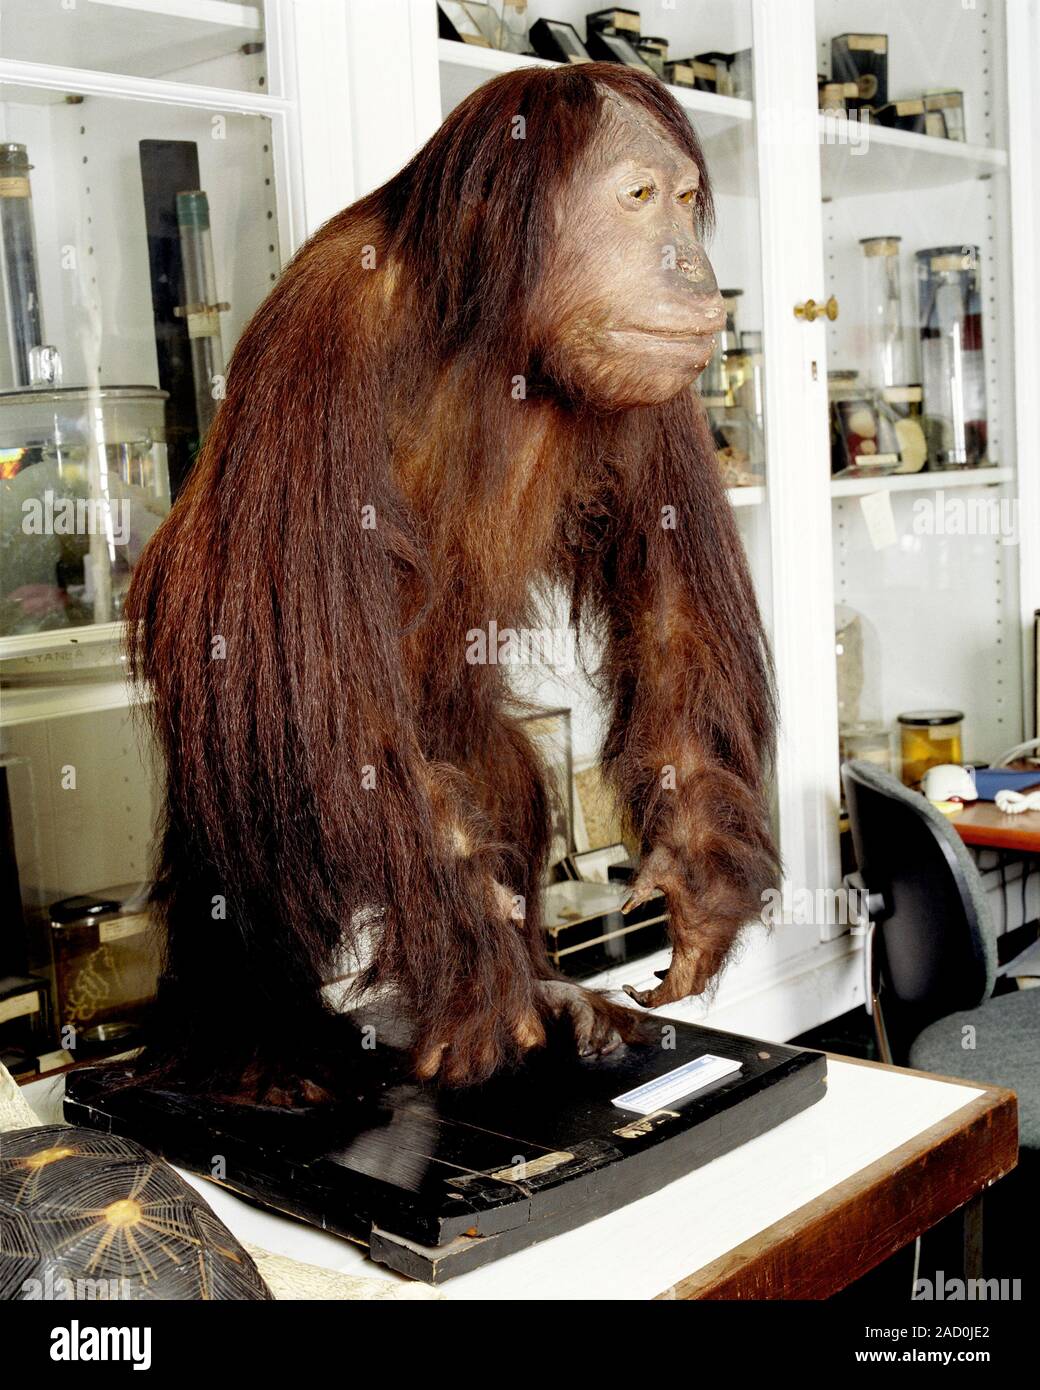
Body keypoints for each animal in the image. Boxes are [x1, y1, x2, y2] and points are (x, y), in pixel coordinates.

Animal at [124, 62, 779, 1098]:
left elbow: (669, 602)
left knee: (497, 770)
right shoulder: (319, 335)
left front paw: (697, 881)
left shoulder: (661, 388)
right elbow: (313, 664)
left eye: (684, 203)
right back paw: (257, 1045)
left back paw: (555, 992)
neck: (499, 341)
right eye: (638, 198)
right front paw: (480, 975)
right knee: (247, 823)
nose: (694, 267)